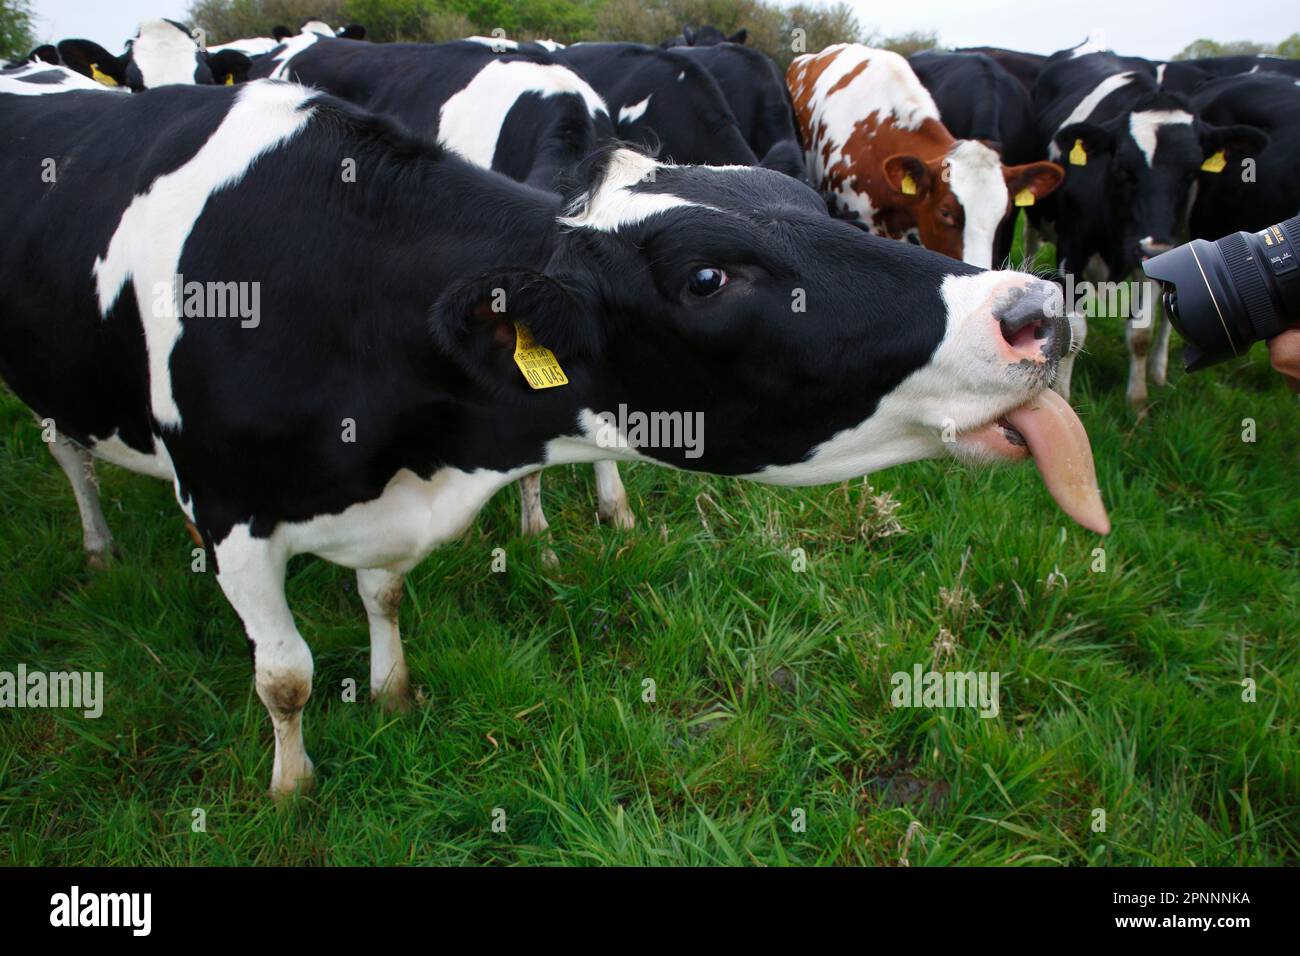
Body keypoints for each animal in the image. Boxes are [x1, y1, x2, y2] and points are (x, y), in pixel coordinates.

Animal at [1, 80, 1107, 796]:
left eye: (804, 204)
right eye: (707, 277)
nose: (1033, 310)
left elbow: (383, 595)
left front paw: (392, 692)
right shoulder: (229, 510)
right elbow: (286, 675)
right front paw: (291, 791)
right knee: (67, 453)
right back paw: (97, 546)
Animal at [1032, 49, 1268, 405]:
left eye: (1191, 172)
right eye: (1123, 167)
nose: (1154, 247)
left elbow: (1141, 333)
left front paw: (1138, 400)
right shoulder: (1072, 248)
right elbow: (1074, 331)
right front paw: (1063, 394)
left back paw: (1158, 372)